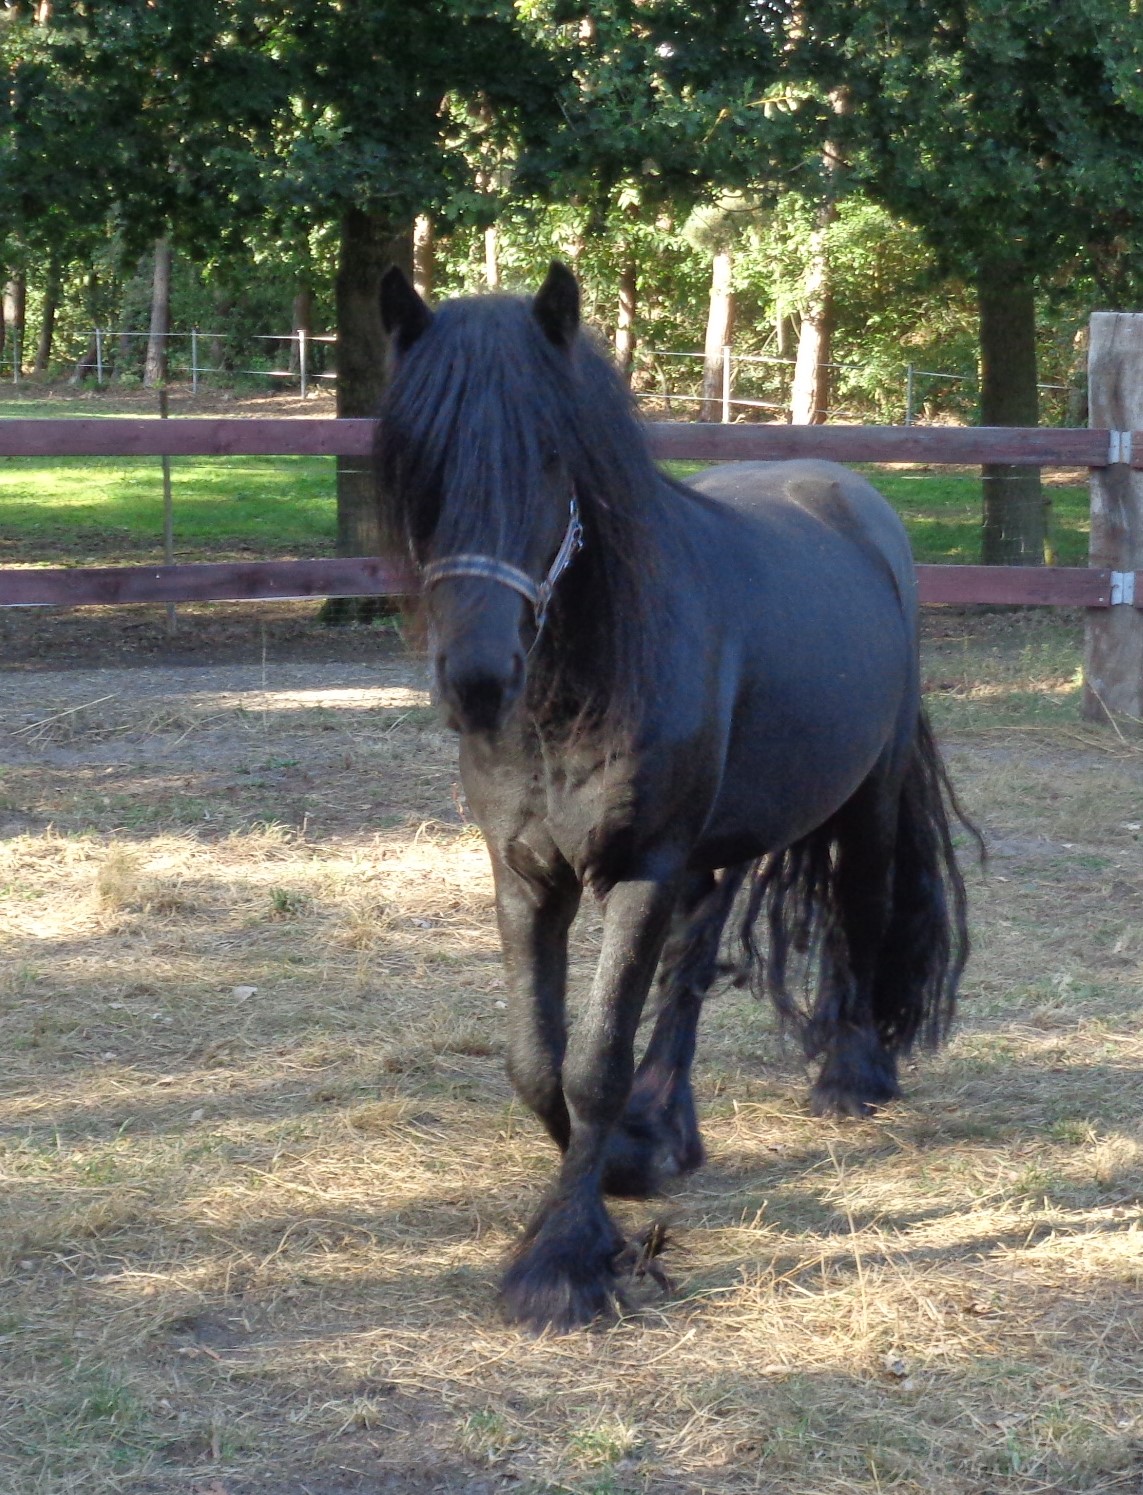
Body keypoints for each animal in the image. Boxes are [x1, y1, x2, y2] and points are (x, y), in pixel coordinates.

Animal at [375, 261, 975, 1334]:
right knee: (693, 969)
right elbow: (539, 1057)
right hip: (716, 848)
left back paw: (850, 1078)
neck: (581, 685)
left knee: (858, 918)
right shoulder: (525, 875)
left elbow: (592, 1060)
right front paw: (621, 1169)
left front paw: (563, 1261)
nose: (477, 682)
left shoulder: (641, 871)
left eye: (550, 462)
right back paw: (668, 1125)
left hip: (858, 804)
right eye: (419, 466)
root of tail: (856, 500)